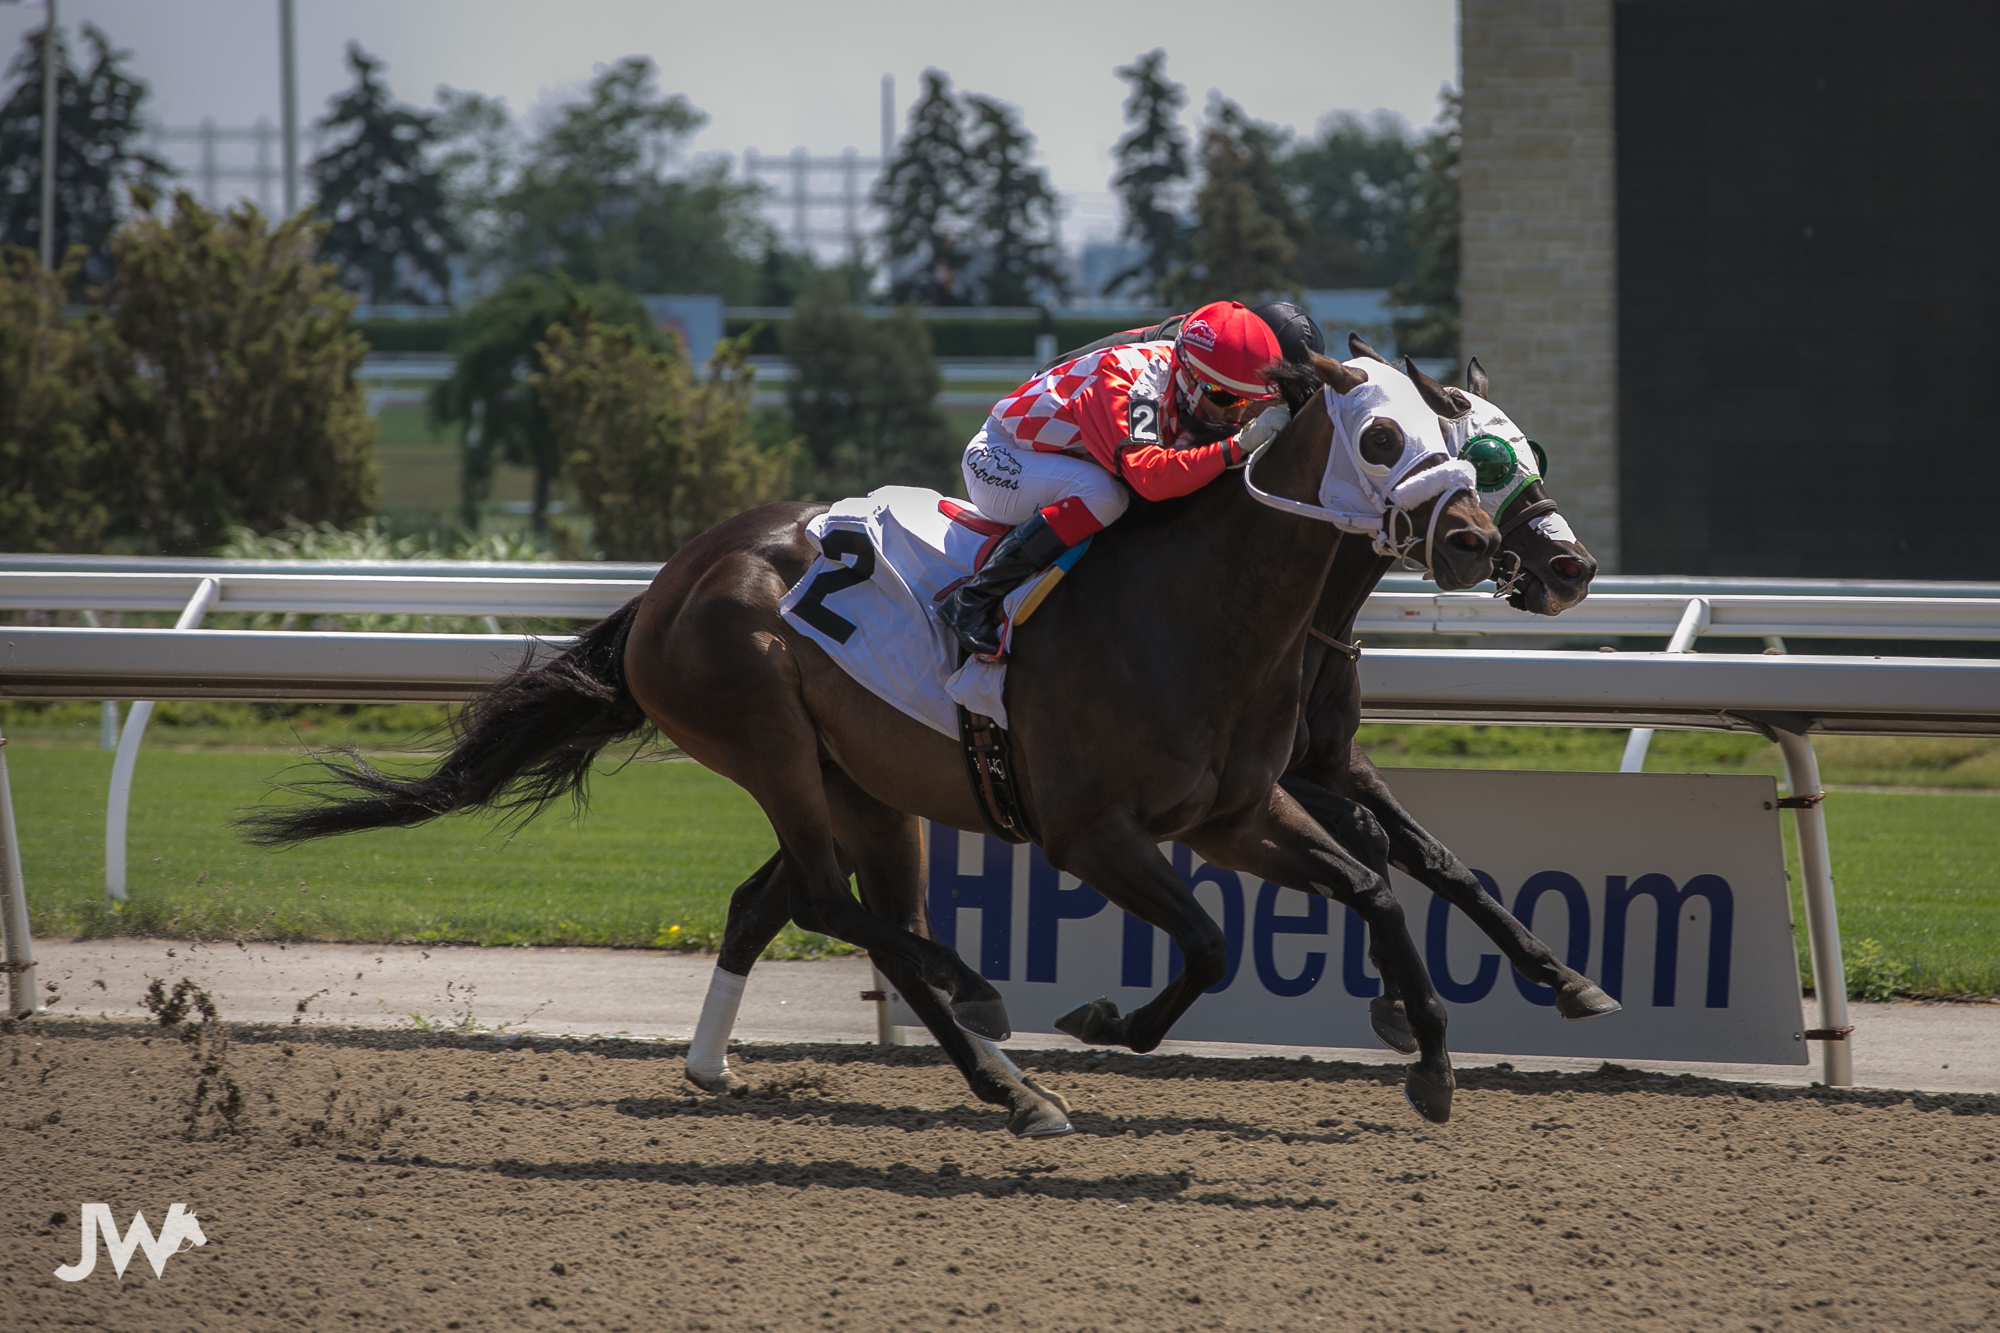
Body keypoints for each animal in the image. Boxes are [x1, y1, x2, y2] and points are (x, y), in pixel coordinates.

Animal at [244, 354, 1499, 1135]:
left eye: (1456, 431)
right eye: (1379, 434)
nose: (1479, 539)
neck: (1197, 611)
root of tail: (670, 584)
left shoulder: (1236, 811)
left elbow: (1366, 886)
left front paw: (1433, 1064)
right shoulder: (1091, 831)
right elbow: (1205, 941)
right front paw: (1104, 1021)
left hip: (870, 782)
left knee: (834, 909)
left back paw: (973, 1077)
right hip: (768, 740)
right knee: (825, 901)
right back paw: (985, 1015)